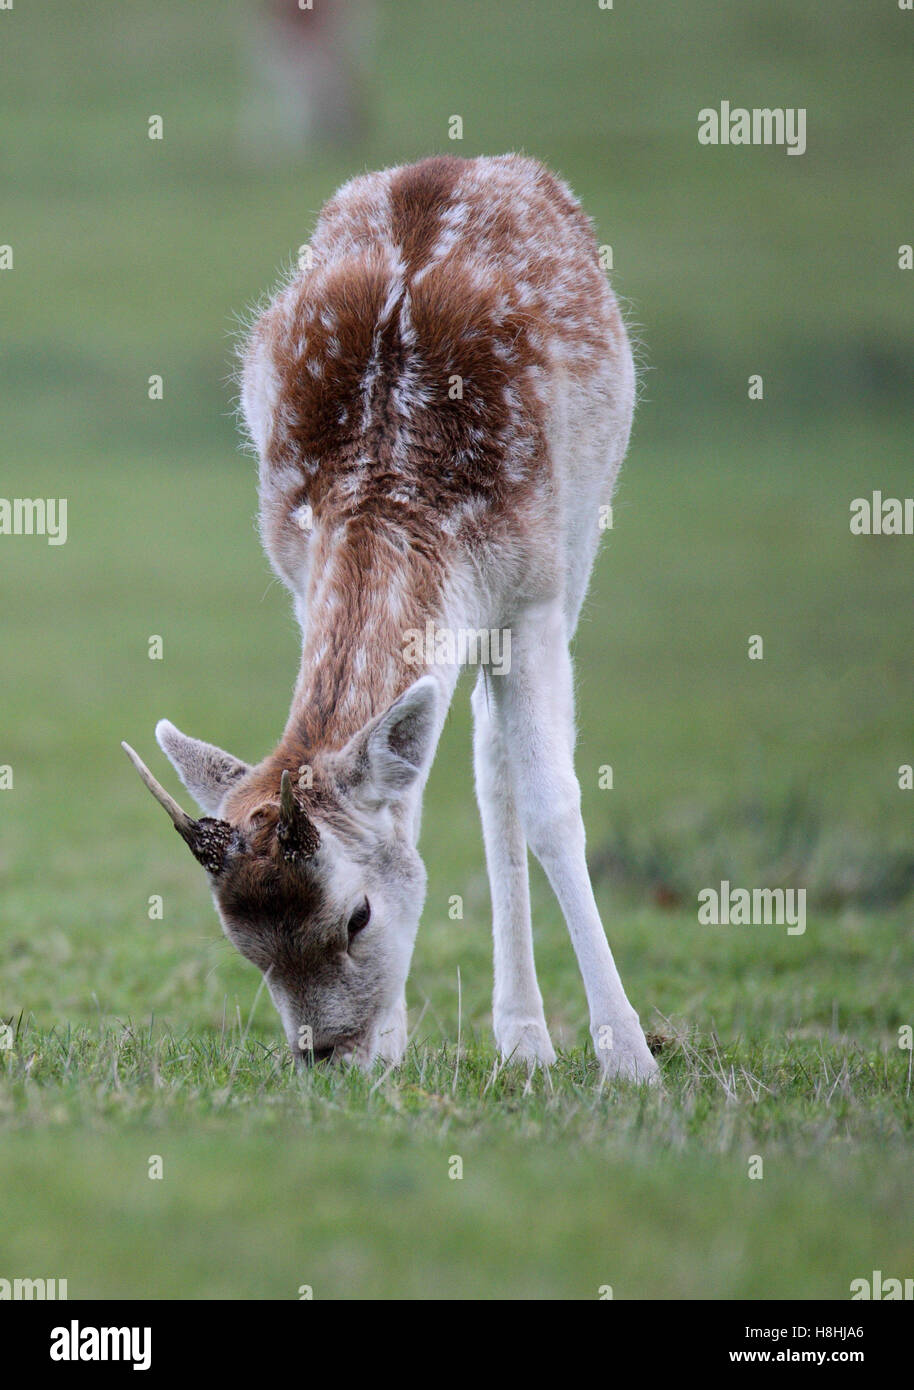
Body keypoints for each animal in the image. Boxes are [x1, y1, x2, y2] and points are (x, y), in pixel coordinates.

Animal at [122, 153, 659, 1082]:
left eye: (359, 915)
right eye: (243, 946)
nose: (327, 1054)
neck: (395, 474)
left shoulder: (536, 598)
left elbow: (552, 806)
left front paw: (630, 1056)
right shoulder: (300, 575)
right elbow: (399, 788)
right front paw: (402, 1038)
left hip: (585, 523)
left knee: (495, 765)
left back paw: (528, 1035)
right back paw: (522, 1034)